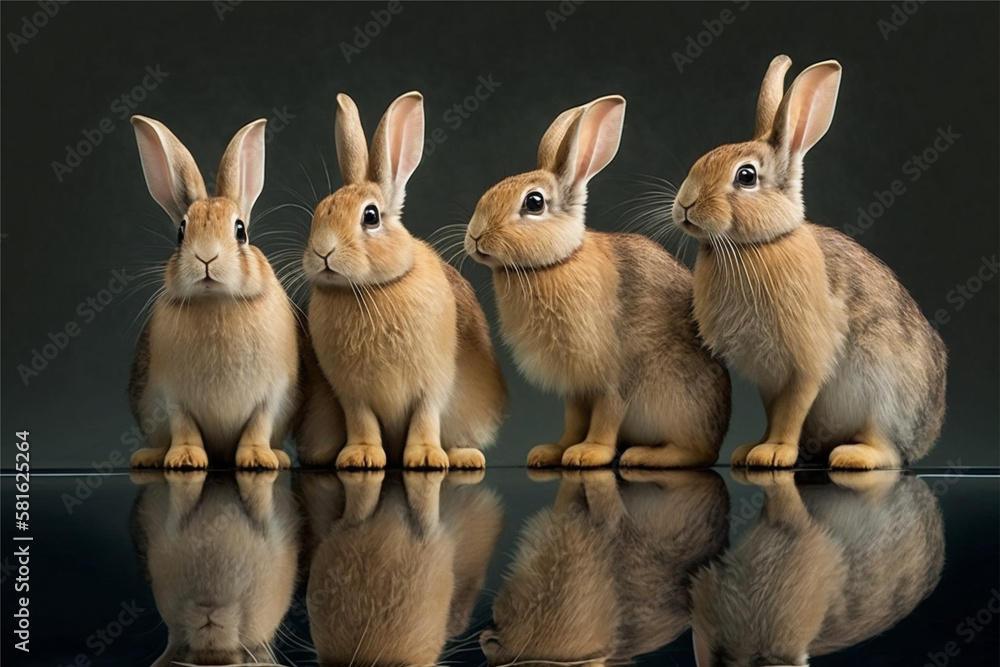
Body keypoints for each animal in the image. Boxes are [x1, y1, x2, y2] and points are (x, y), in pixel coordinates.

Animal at [128, 116, 300, 470]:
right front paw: (185, 459)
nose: (206, 258)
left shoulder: (272, 396)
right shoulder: (173, 397)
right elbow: (185, 428)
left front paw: (258, 458)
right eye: (181, 232)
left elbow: (257, 426)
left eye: (240, 231)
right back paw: (150, 457)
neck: (216, 301)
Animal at [302, 92, 508, 471]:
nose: (323, 252)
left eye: (370, 216)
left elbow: (425, 418)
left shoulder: (431, 387)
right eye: (320, 212)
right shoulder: (352, 395)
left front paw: (426, 457)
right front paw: (360, 456)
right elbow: (362, 422)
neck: (371, 289)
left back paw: (463, 457)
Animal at [464, 95, 731, 469]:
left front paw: (588, 454)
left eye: (534, 202)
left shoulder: (611, 376)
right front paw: (553, 452)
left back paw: (644, 456)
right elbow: (574, 420)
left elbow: (607, 413)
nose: (475, 237)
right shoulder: (576, 388)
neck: (556, 262)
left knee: (694, 453)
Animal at [671, 55, 947, 469]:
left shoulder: (807, 365)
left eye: (746, 176)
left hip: (882, 393)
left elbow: (792, 411)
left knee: (887, 449)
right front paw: (752, 450)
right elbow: (775, 413)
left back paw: (853, 456)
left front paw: (775, 454)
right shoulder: (769, 379)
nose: (685, 204)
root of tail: (922, 439)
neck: (759, 245)